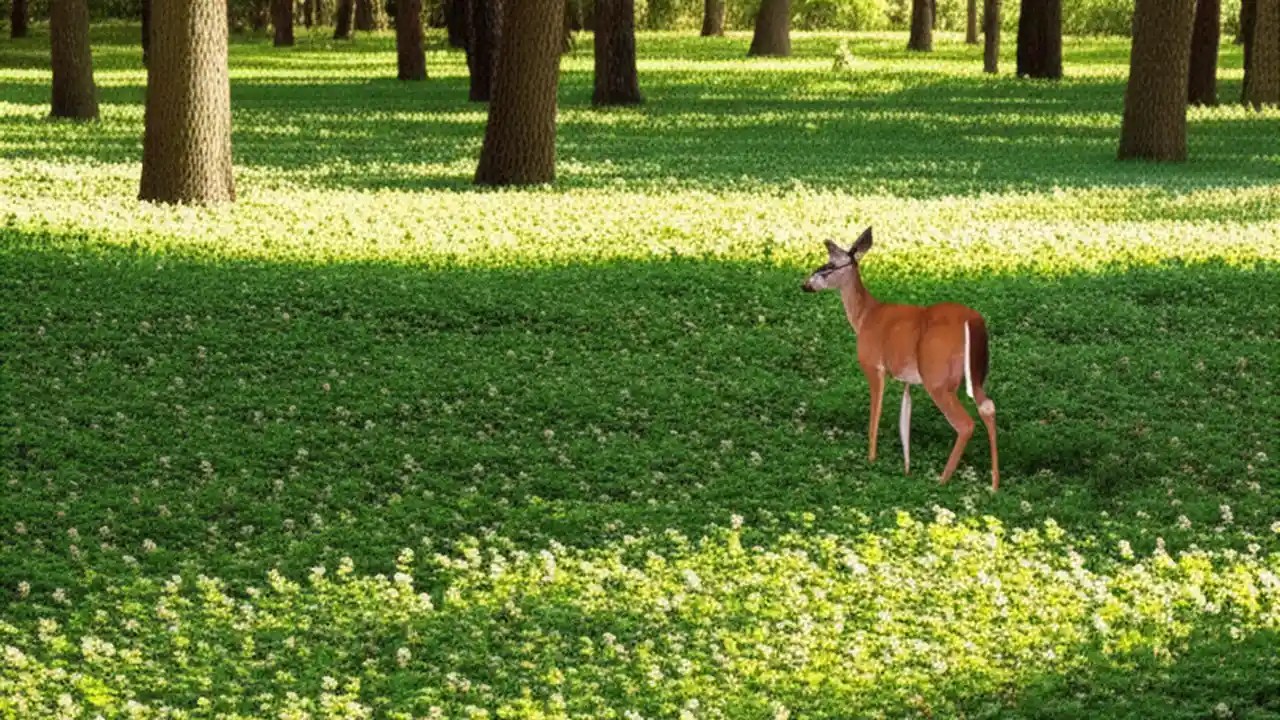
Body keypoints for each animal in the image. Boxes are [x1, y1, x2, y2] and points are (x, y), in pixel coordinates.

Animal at [801, 227, 1000, 490]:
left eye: (831, 264)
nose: (805, 285)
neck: (865, 316)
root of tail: (974, 322)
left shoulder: (873, 364)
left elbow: (875, 413)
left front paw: (871, 459)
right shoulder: (907, 379)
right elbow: (904, 419)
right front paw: (906, 469)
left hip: (936, 375)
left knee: (965, 423)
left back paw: (942, 479)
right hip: (975, 375)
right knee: (988, 407)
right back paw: (994, 485)